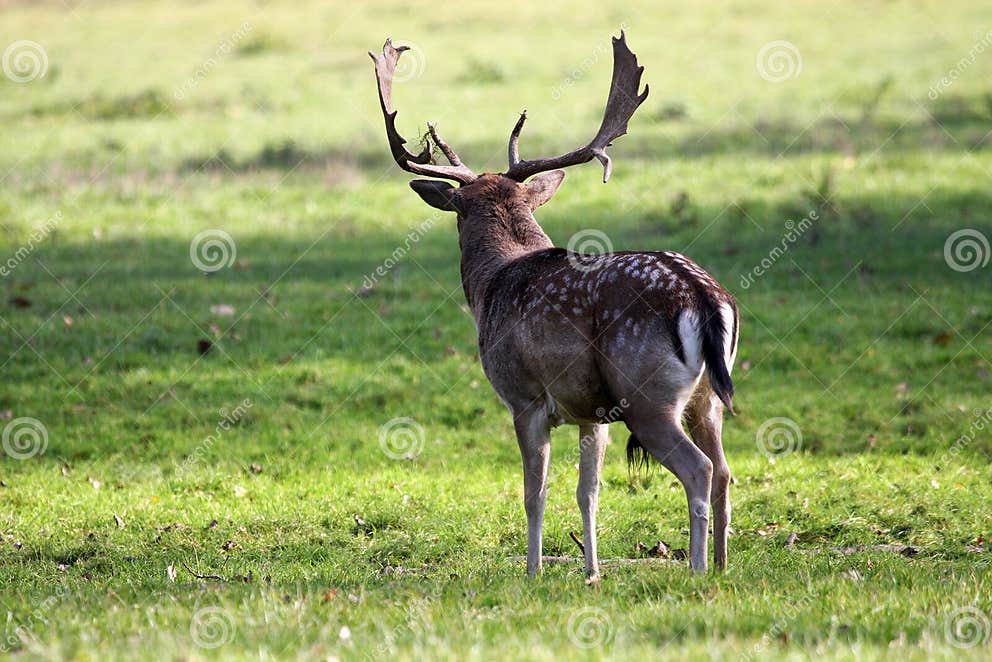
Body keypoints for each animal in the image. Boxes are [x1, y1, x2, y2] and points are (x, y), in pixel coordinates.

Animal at [369, 32, 739, 581]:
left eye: (457, 210)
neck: (492, 285)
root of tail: (702, 297)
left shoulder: (523, 397)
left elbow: (534, 493)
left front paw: (532, 571)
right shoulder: (591, 411)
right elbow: (588, 493)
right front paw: (591, 572)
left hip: (645, 394)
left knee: (700, 469)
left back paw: (694, 570)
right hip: (705, 397)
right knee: (725, 470)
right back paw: (720, 566)